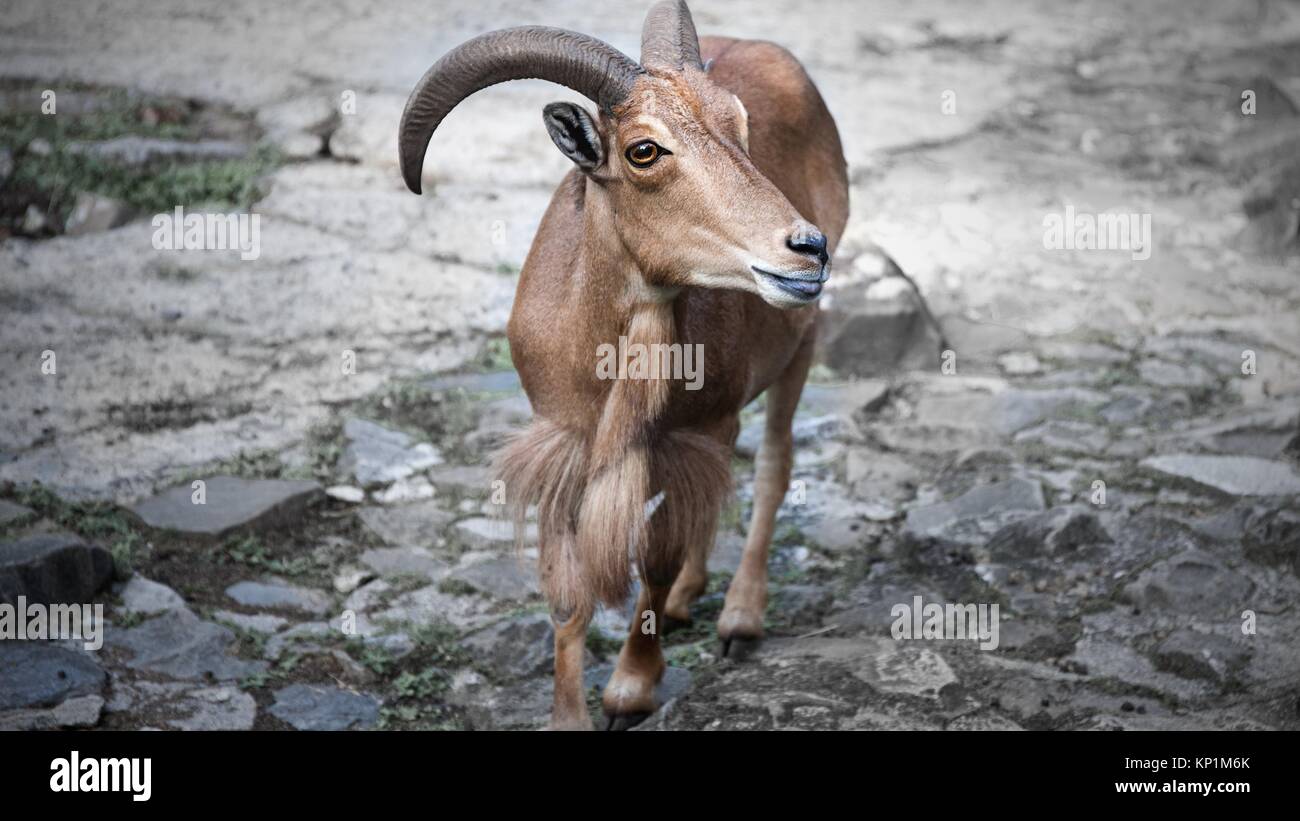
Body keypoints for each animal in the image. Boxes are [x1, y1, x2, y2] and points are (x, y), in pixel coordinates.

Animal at [399, 0, 848, 730]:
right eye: (644, 150)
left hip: (798, 344)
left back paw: (739, 616)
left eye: (739, 125)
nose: (808, 248)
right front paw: (568, 714)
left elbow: (655, 559)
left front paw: (630, 689)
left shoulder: (680, 437)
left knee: (773, 464)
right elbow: (566, 591)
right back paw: (692, 596)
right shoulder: (565, 444)